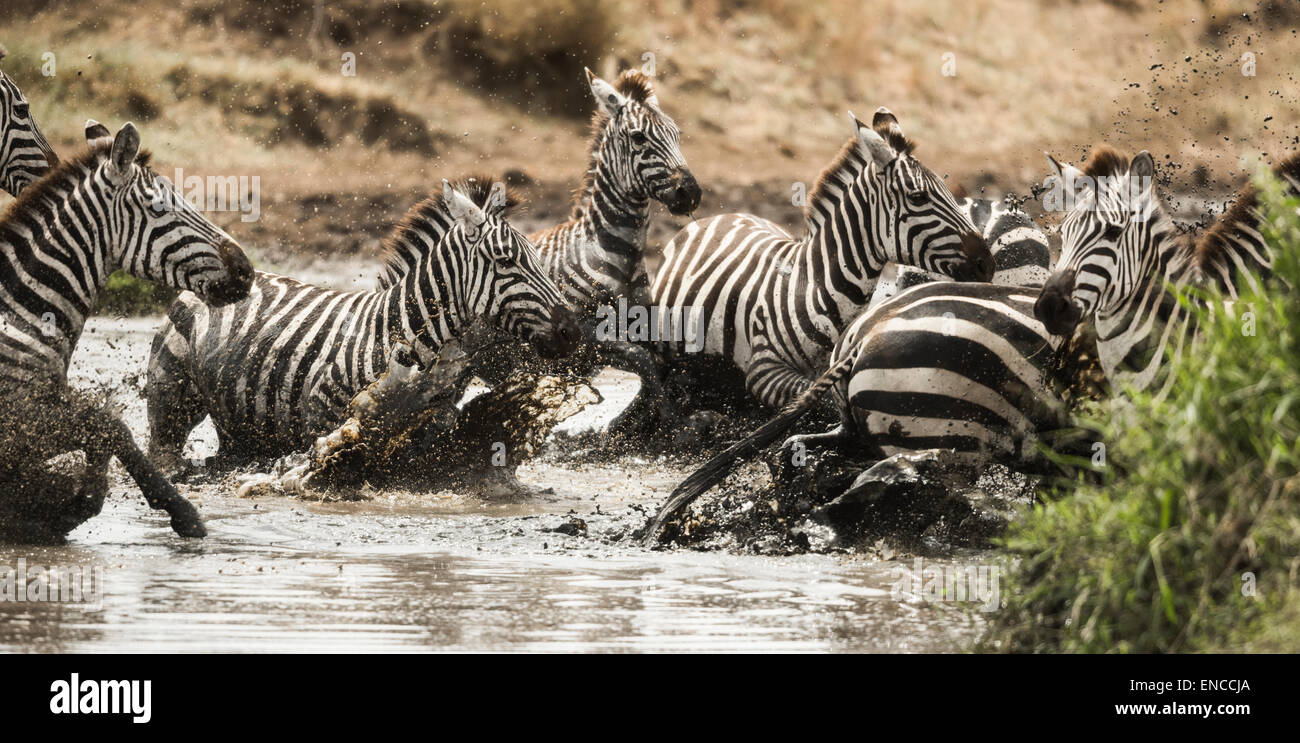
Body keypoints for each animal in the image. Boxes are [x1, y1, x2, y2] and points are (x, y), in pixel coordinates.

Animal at [0, 120, 254, 540]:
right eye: (161, 208)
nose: (246, 271)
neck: (21, 313)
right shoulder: (18, 417)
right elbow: (111, 426)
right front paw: (181, 511)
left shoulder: (40, 414)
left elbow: (101, 433)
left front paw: (57, 502)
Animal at [145, 178, 581, 468]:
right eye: (506, 262)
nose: (571, 332)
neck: (401, 334)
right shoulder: (322, 415)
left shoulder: (429, 426)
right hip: (171, 401)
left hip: (238, 422)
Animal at [643, 146, 1297, 541]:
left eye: (1111, 234)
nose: (1052, 309)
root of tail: (864, 335)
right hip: (949, 436)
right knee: (886, 483)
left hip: (861, 427)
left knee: (799, 456)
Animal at [649, 107, 994, 412]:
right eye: (918, 197)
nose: (987, 265)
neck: (815, 290)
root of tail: (723, 215)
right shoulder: (762, 368)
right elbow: (818, 397)